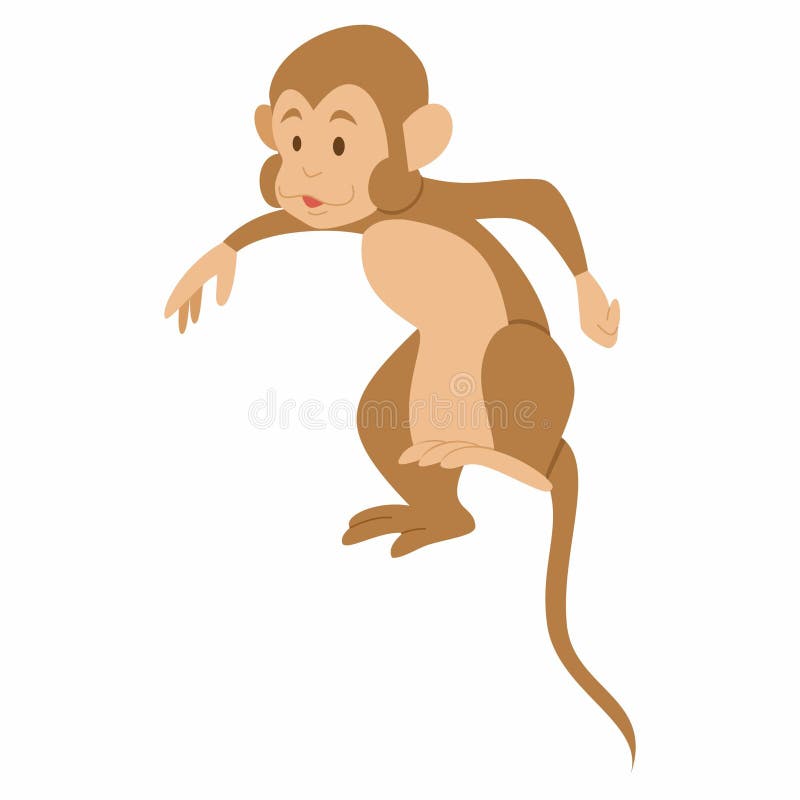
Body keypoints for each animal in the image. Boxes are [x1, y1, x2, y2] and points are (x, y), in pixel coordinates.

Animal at [164, 25, 633, 763]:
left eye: (338, 144)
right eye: (293, 141)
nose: (306, 177)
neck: (396, 211)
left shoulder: (443, 198)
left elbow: (535, 195)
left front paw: (596, 309)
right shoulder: (347, 219)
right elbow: (289, 225)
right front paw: (215, 258)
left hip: (518, 379)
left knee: (521, 411)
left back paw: (504, 462)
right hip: (414, 400)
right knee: (393, 437)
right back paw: (432, 512)